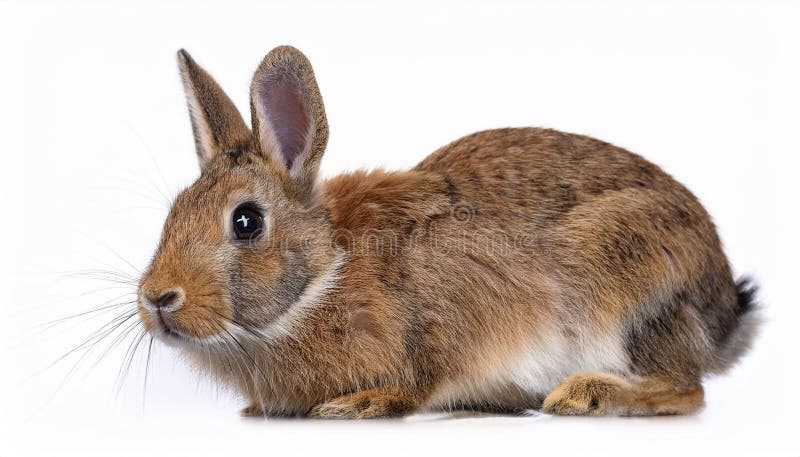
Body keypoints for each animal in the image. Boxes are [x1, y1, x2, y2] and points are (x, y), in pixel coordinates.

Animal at [136, 45, 759, 418]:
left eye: (246, 221)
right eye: (172, 212)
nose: (158, 298)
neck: (324, 275)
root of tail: (723, 309)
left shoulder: (444, 308)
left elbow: (420, 378)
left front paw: (358, 405)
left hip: (625, 293)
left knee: (687, 389)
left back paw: (583, 395)